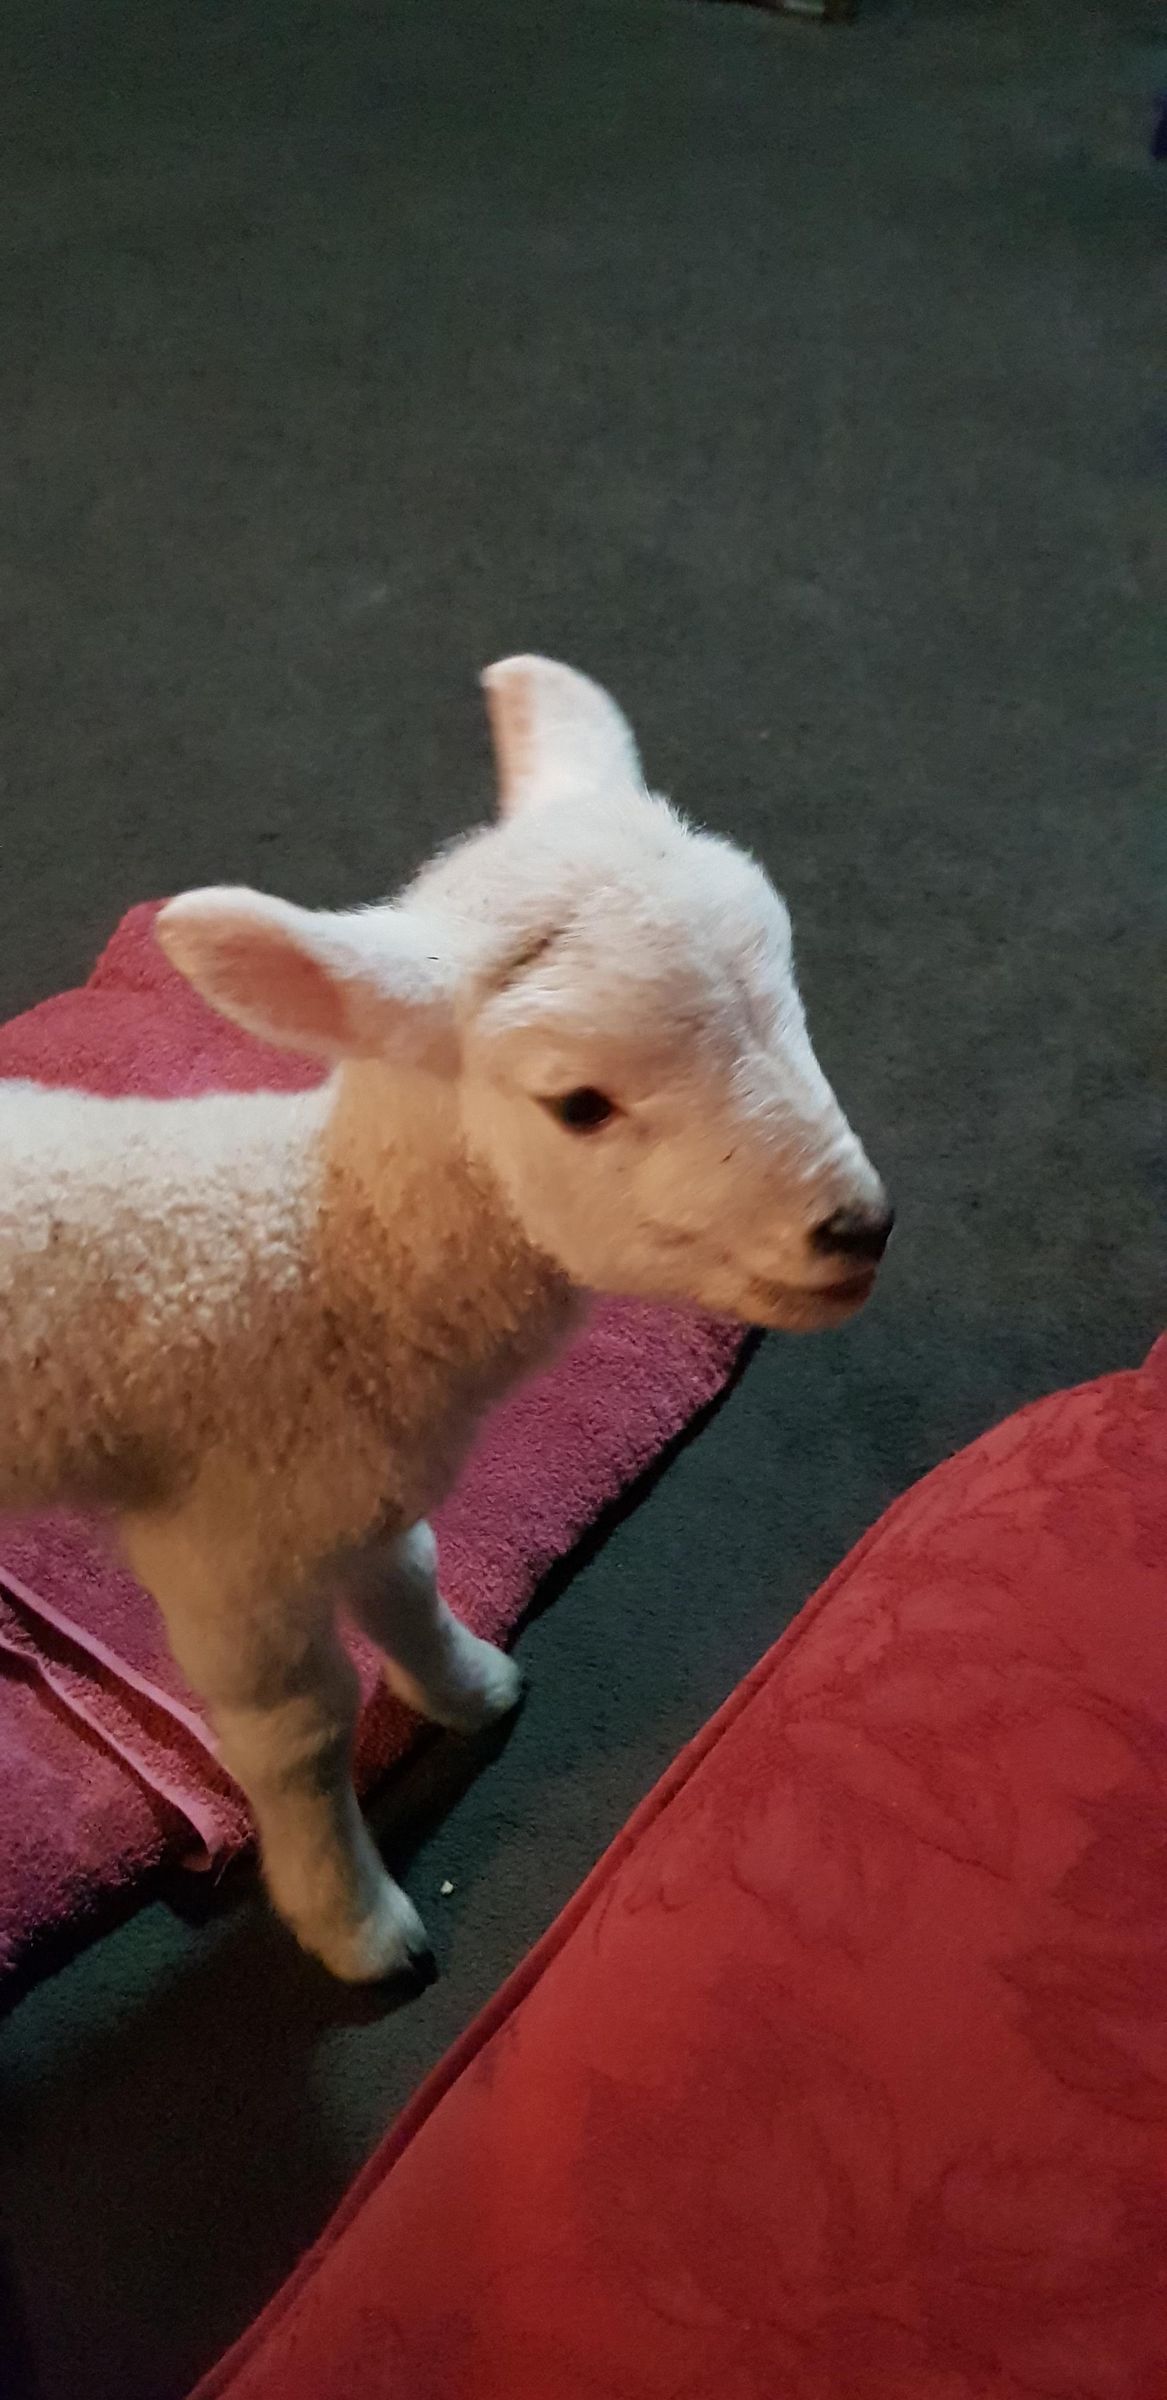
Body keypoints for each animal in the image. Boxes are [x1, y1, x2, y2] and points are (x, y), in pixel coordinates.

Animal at [0, 658, 892, 1982]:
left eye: (787, 990)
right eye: (579, 1104)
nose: (856, 1228)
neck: (320, 1263)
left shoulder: (354, 1491)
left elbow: (412, 1582)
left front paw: (471, 1687)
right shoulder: (228, 1556)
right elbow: (299, 1736)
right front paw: (355, 1922)